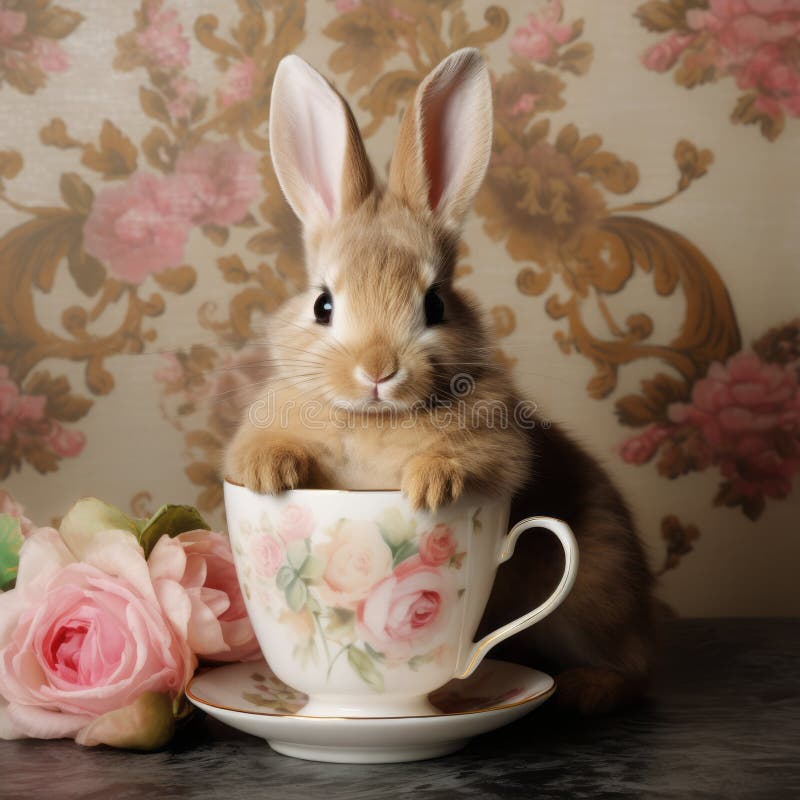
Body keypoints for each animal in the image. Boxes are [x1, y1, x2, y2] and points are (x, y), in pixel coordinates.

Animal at [224, 48, 655, 714]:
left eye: (434, 305)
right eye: (323, 305)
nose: (377, 369)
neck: (374, 418)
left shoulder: (499, 449)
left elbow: (470, 457)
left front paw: (429, 485)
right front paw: (269, 472)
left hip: (596, 594)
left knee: (631, 671)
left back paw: (582, 690)